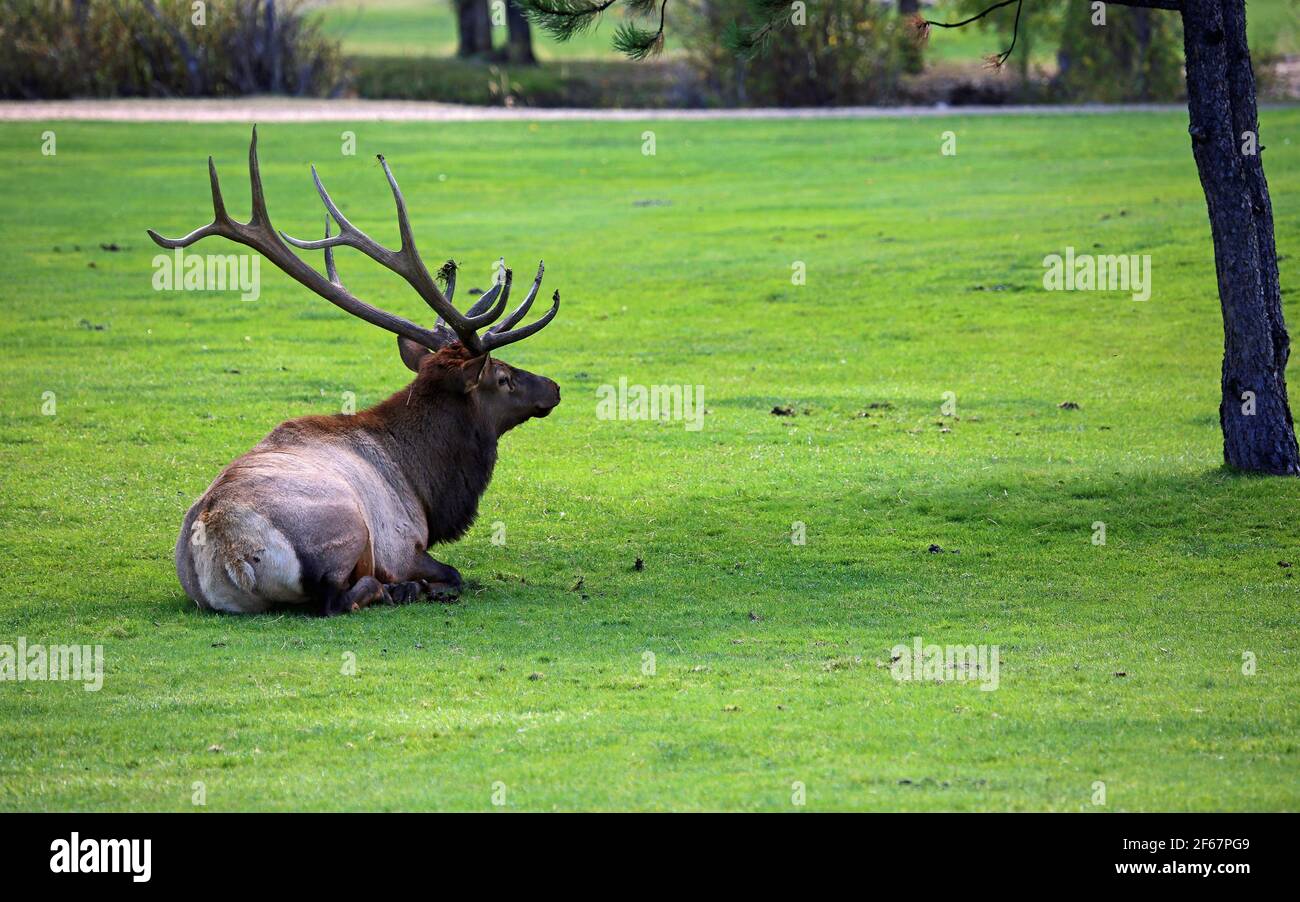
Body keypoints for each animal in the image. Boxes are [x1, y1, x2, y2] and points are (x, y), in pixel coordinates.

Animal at [148, 128, 561, 616]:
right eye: (502, 376)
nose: (553, 387)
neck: (425, 486)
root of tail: (231, 551)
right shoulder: (401, 544)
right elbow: (454, 574)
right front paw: (422, 585)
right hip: (344, 527)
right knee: (335, 599)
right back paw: (398, 591)